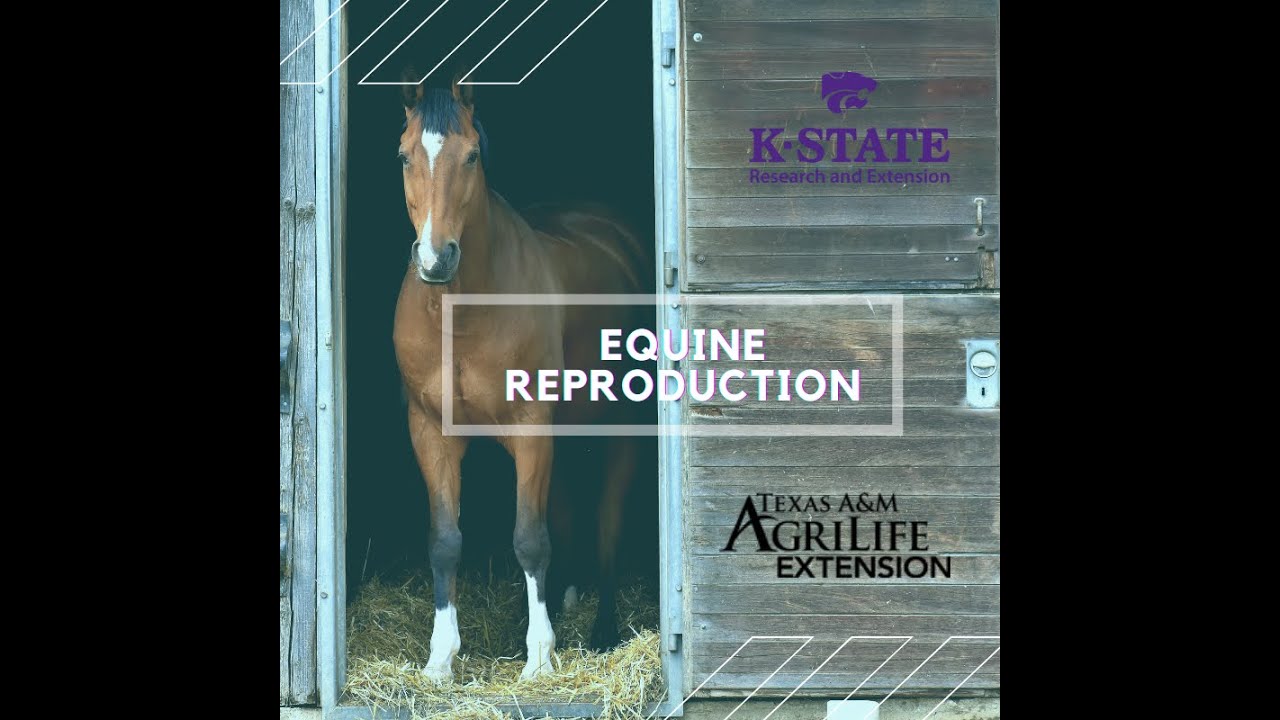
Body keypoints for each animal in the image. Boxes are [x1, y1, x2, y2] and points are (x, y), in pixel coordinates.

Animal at [390, 78, 651, 682]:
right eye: (405, 155)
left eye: (472, 156)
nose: (436, 259)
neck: (461, 314)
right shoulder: (429, 431)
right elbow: (445, 541)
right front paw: (440, 658)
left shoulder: (531, 429)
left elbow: (530, 540)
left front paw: (538, 658)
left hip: (620, 428)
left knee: (608, 520)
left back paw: (602, 630)